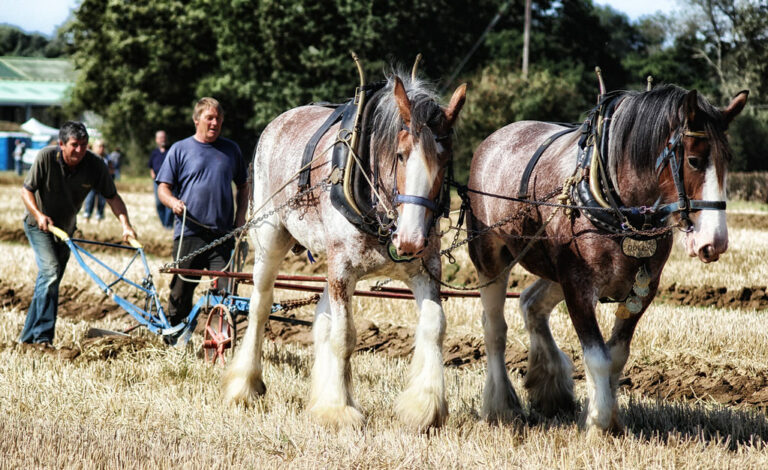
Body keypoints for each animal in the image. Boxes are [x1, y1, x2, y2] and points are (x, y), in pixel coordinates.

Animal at [221, 70, 467, 431]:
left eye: (446, 158)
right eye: (400, 155)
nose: (410, 240)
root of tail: (281, 120)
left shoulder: (424, 269)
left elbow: (434, 325)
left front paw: (424, 407)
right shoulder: (343, 268)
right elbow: (344, 335)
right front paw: (338, 409)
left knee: (321, 316)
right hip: (270, 239)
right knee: (260, 306)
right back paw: (245, 385)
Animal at [466, 85, 748, 433]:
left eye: (728, 160)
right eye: (694, 160)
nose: (715, 242)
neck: (621, 210)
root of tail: (495, 139)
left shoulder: (642, 290)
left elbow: (617, 355)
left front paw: (610, 417)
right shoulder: (578, 287)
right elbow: (597, 357)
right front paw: (598, 423)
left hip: (553, 271)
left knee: (531, 304)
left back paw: (550, 387)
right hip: (490, 257)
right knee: (495, 329)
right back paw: (501, 406)